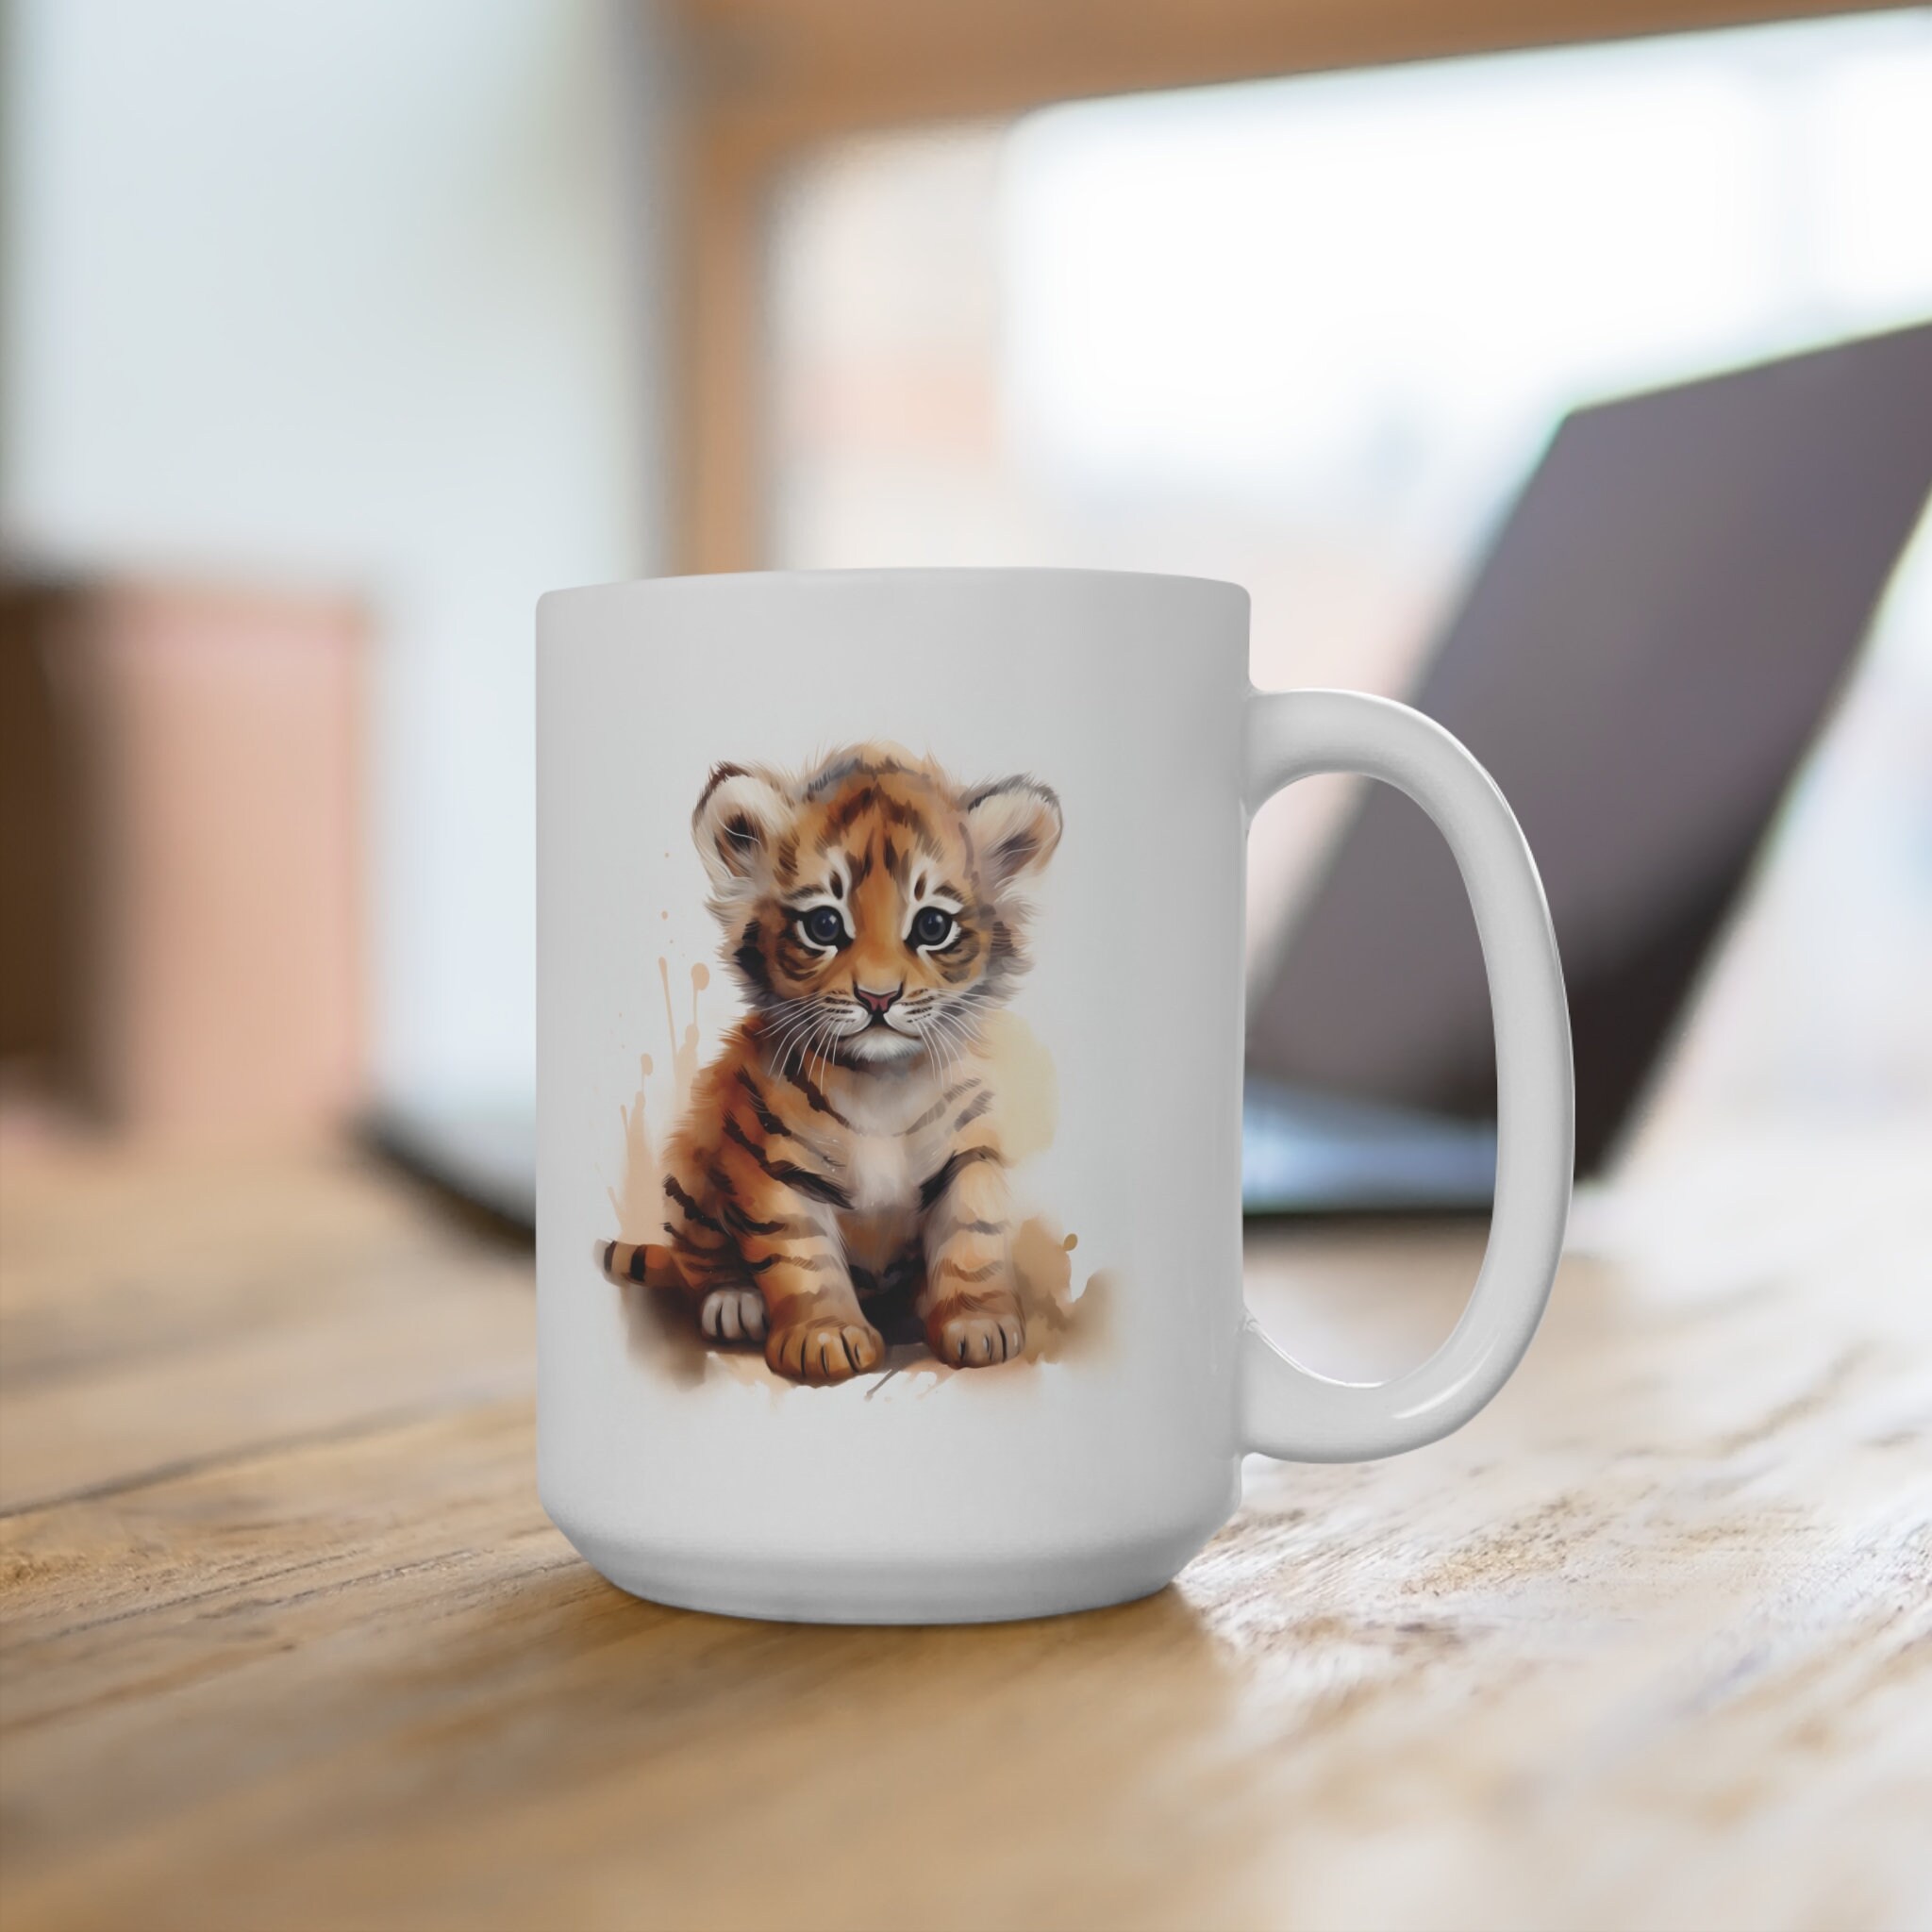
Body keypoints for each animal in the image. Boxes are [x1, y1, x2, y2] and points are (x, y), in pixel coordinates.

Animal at [601, 744, 1063, 1384]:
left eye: (933, 926)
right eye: (823, 925)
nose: (878, 998)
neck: (880, 1081)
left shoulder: (967, 1151)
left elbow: (972, 1233)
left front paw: (978, 1322)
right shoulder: (774, 1169)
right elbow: (800, 1255)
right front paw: (824, 1337)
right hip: (693, 1161)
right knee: (699, 1260)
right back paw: (734, 1302)